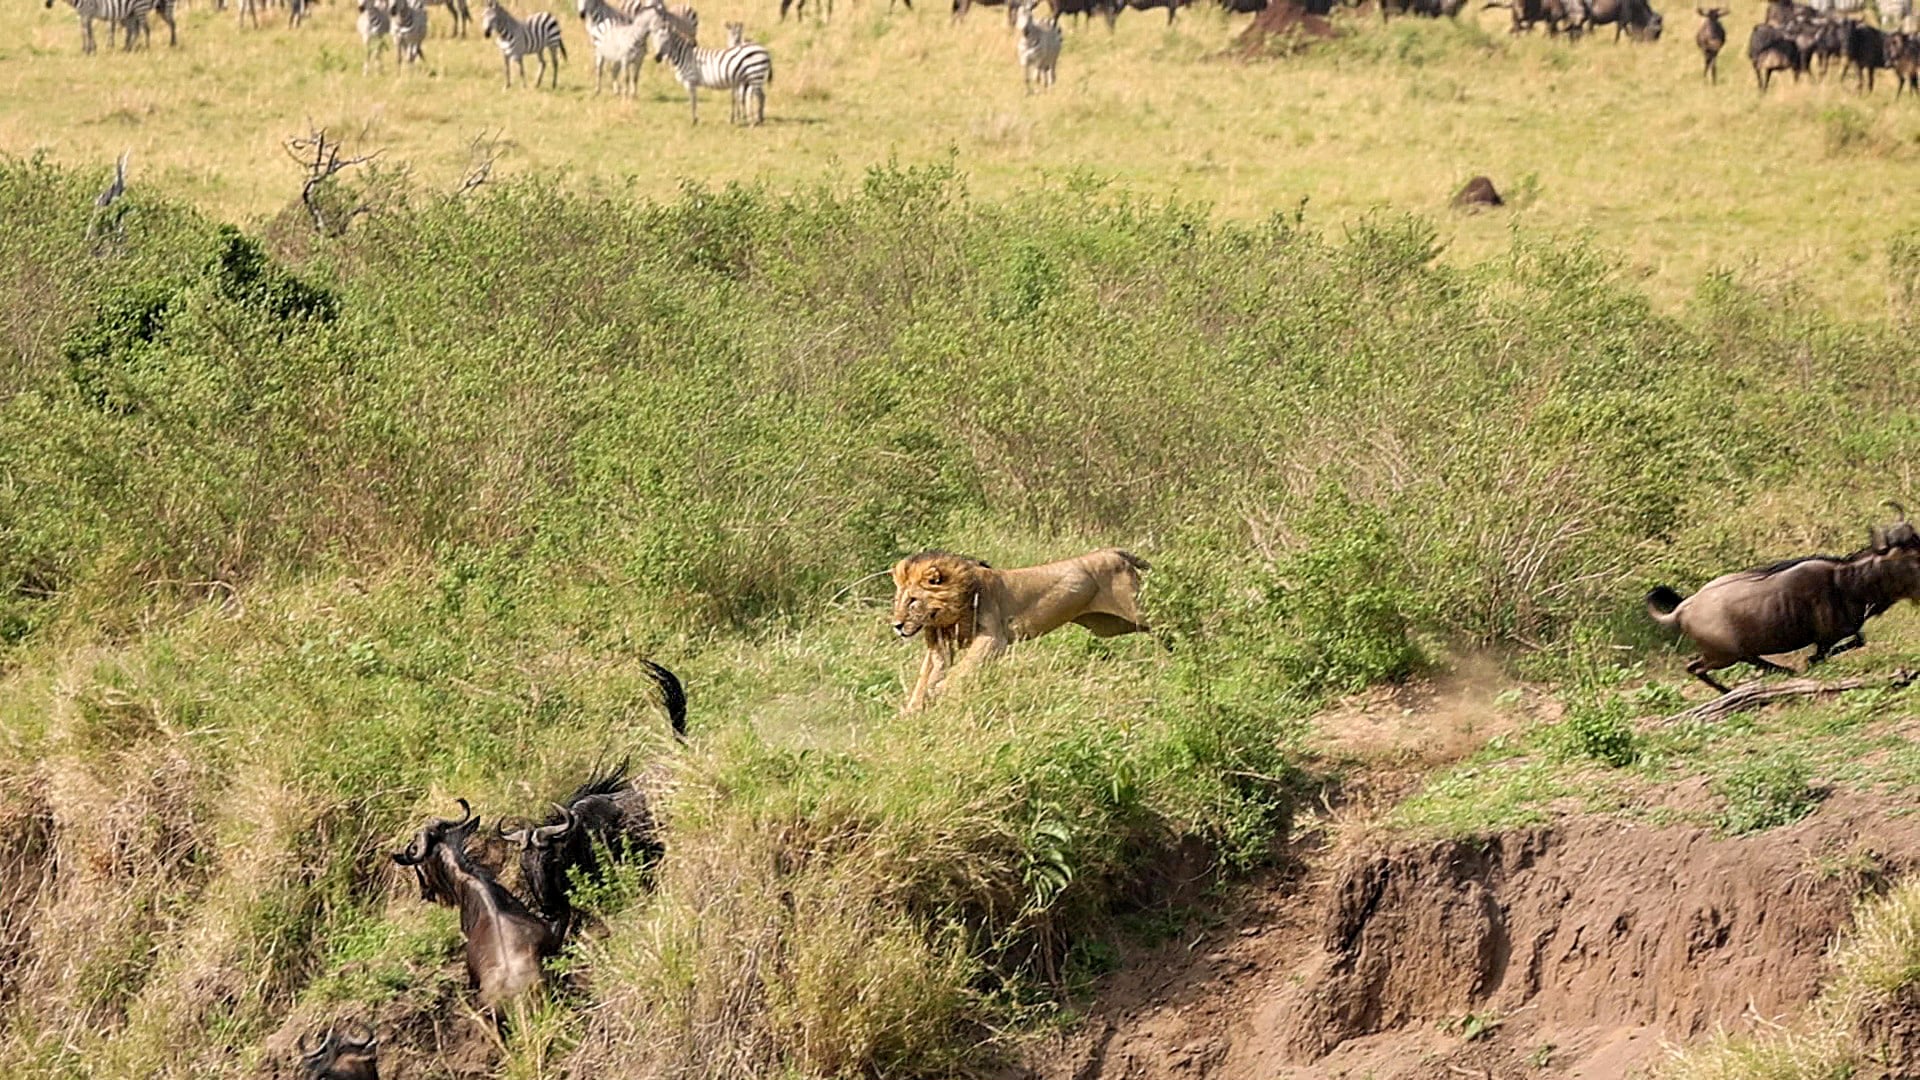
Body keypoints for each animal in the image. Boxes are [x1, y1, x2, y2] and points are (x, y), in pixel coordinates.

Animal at [889, 547, 1151, 712]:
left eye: (913, 601)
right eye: (898, 600)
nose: (897, 626)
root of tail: (1116, 552)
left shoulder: (994, 638)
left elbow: (964, 668)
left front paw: (940, 690)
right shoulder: (942, 643)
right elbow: (925, 676)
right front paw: (912, 711)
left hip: (1138, 613)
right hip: (1114, 625)